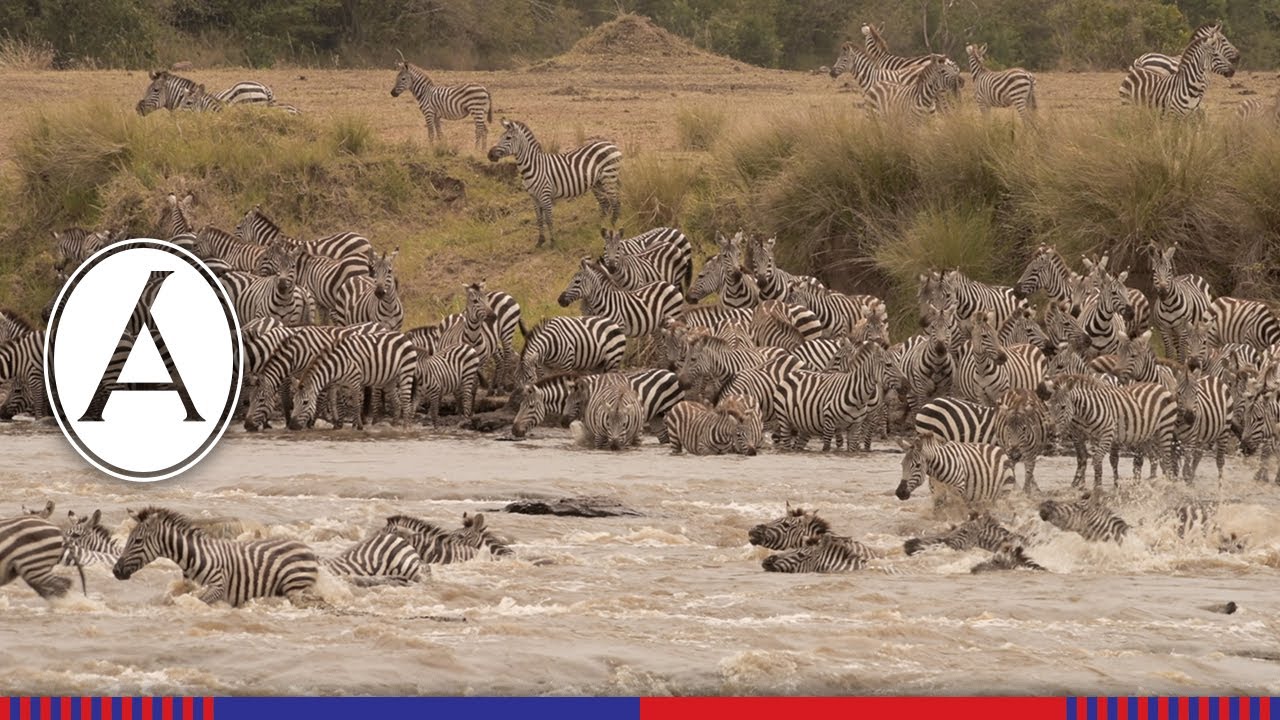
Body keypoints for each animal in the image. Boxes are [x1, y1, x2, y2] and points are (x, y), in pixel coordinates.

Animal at [113, 507, 317, 606]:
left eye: (137, 540)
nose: (115, 571)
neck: (194, 556)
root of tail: (307, 548)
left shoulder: (218, 586)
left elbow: (199, 602)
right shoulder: (187, 586)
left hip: (294, 587)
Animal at [289, 331, 418, 430]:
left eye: (305, 402)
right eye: (293, 402)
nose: (292, 426)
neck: (336, 365)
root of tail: (403, 336)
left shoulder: (355, 381)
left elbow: (355, 404)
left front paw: (359, 426)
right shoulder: (337, 384)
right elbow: (335, 403)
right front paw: (337, 424)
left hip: (406, 372)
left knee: (406, 401)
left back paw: (405, 428)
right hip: (390, 379)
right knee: (397, 402)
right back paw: (394, 426)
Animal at [487, 119, 622, 248]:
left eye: (508, 138)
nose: (490, 155)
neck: (534, 166)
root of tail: (611, 144)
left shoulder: (545, 195)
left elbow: (549, 219)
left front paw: (552, 242)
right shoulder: (534, 197)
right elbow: (539, 219)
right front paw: (540, 241)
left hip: (609, 178)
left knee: (615, 202)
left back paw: (612, 224)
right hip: (598, 183)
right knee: (605, 204)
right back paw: (600, 225)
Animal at [1038, 373, 1177, 488]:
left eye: (1063, 407)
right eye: (1048, 406)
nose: (1051, 432)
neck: (1088, 411)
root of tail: (1161, 387)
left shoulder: (1107, 434)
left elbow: (1097, 459)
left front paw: (1097, 486)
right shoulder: (1092, 437)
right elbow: (1089, 459)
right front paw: (1089, 484)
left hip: (1165, 429)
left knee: (1166, 458)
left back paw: (1168, 484)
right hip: (1149, 435)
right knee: (1156, 458)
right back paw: (1154, 483)